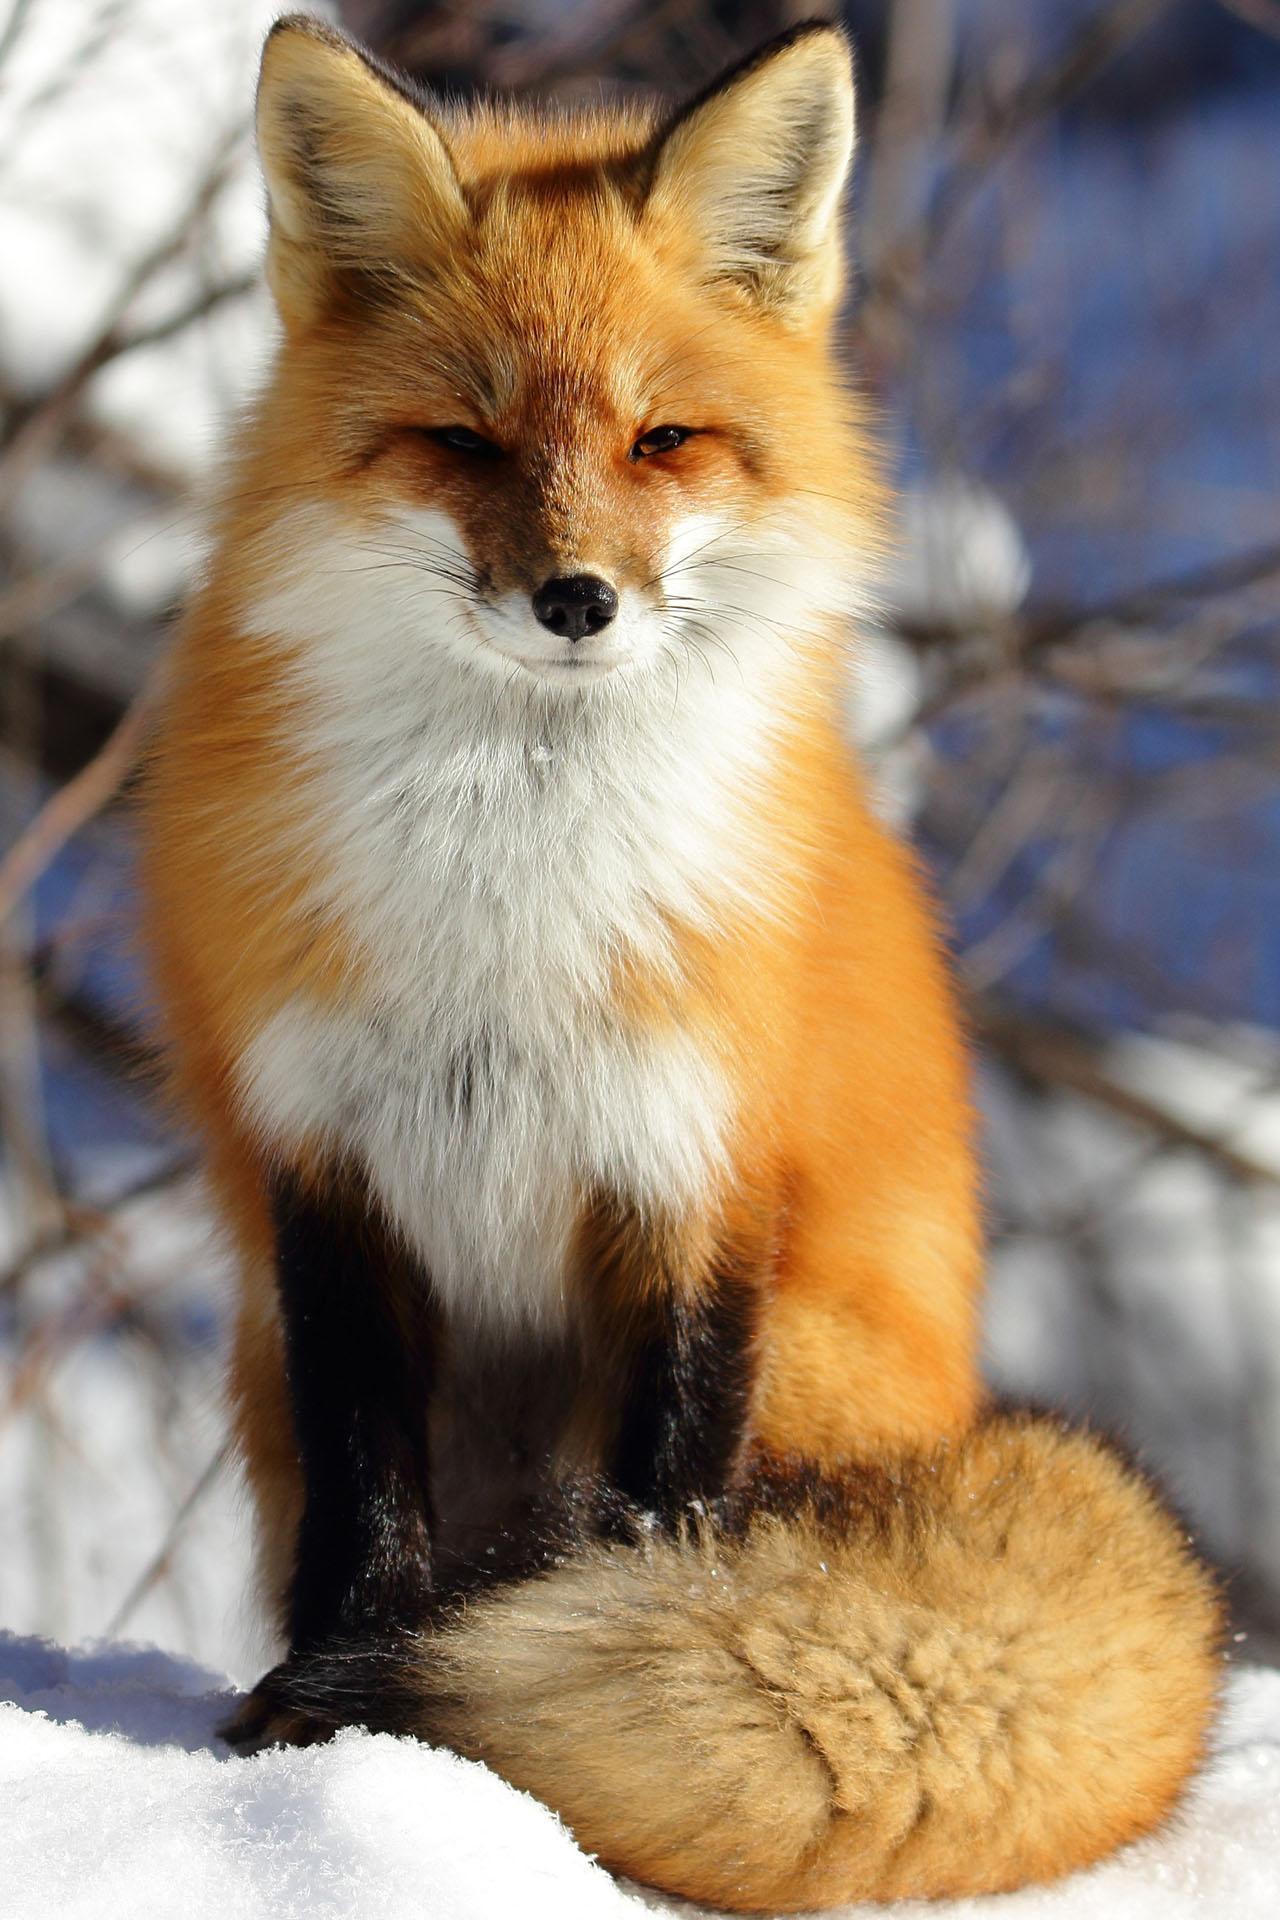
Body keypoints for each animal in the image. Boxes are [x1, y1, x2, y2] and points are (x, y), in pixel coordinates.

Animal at [139, 13, 1221, 1912]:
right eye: (466, 438)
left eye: (664, 440)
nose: (576, 598)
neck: (512, 893)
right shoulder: (324, 1164)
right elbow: (366, 1491)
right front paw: (330, 1735)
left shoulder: (696, 1167)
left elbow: (655, 1516)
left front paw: (564, 1691)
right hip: (271, 1359)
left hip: (818, 1363)